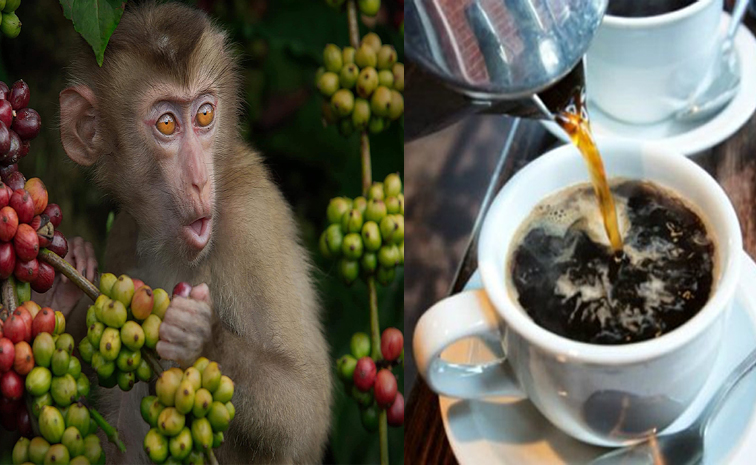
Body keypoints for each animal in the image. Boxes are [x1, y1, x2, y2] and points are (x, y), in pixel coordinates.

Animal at [58, 2, 333, 463]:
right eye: (167, 124)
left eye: (205, 114)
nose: (200, 182)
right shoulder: (125, 235)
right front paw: (61, 293)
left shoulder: (253, 223)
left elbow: (304, 412)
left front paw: (202, 339)